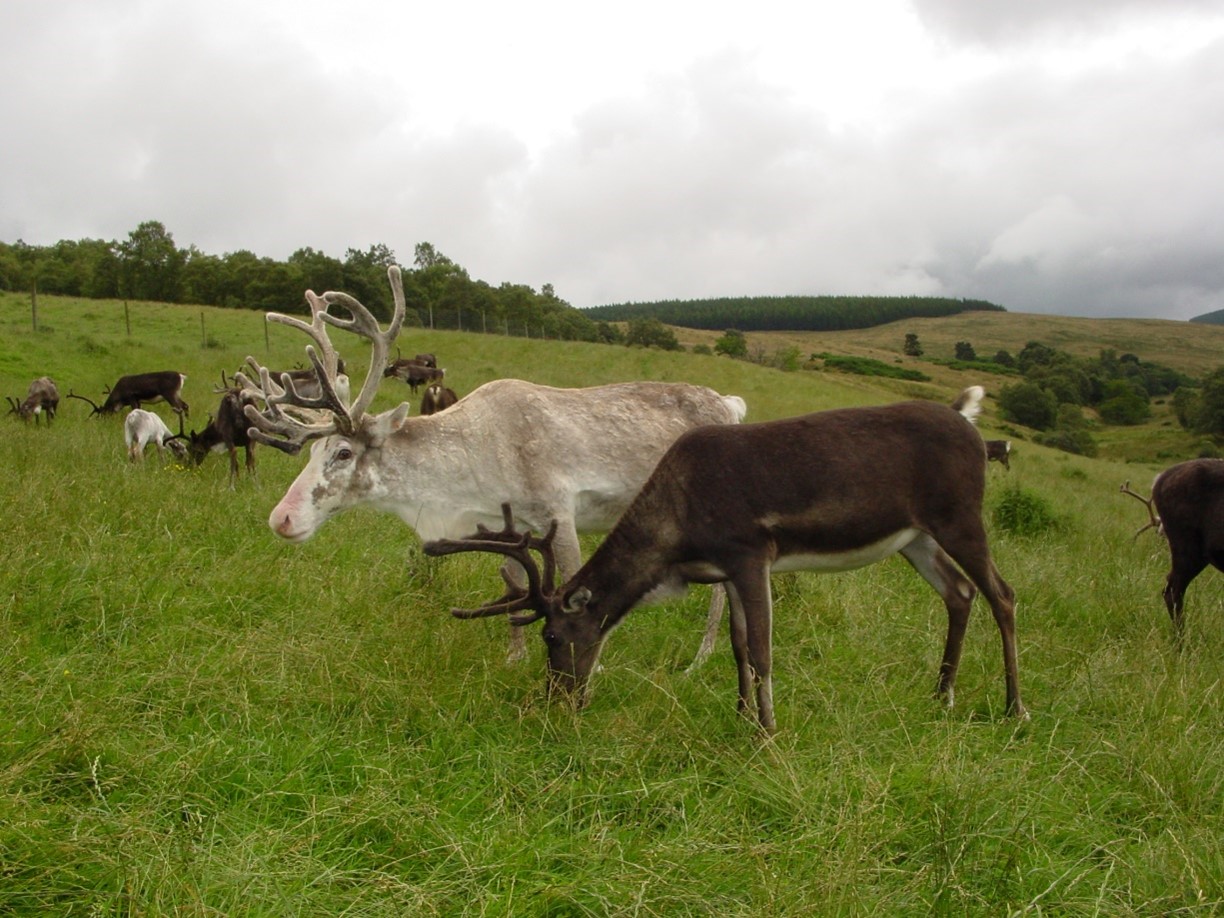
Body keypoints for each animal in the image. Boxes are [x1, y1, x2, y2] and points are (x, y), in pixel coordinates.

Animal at [237, 266, 746, 663]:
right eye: (312, 451)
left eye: (344, 452)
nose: (282, 518)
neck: (471, 480)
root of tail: (732, 404)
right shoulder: (509, 525)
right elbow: (516, 586)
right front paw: (513, 659)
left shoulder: (560, 511)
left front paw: (592, 665)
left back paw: (701, 659)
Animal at [423, 386, 1026, 734]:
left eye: (554, 635)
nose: (557, 699)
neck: (677, 535)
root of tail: (974, 428)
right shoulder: (726, 570)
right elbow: (737, 646)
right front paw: (739, 717)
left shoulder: (749, 552)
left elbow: (761, 651)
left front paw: (767, 734)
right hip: (914, 538)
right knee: (959, 592)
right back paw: (941, 696)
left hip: (960, 516)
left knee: (1002, 593)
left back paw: (1013, 708)